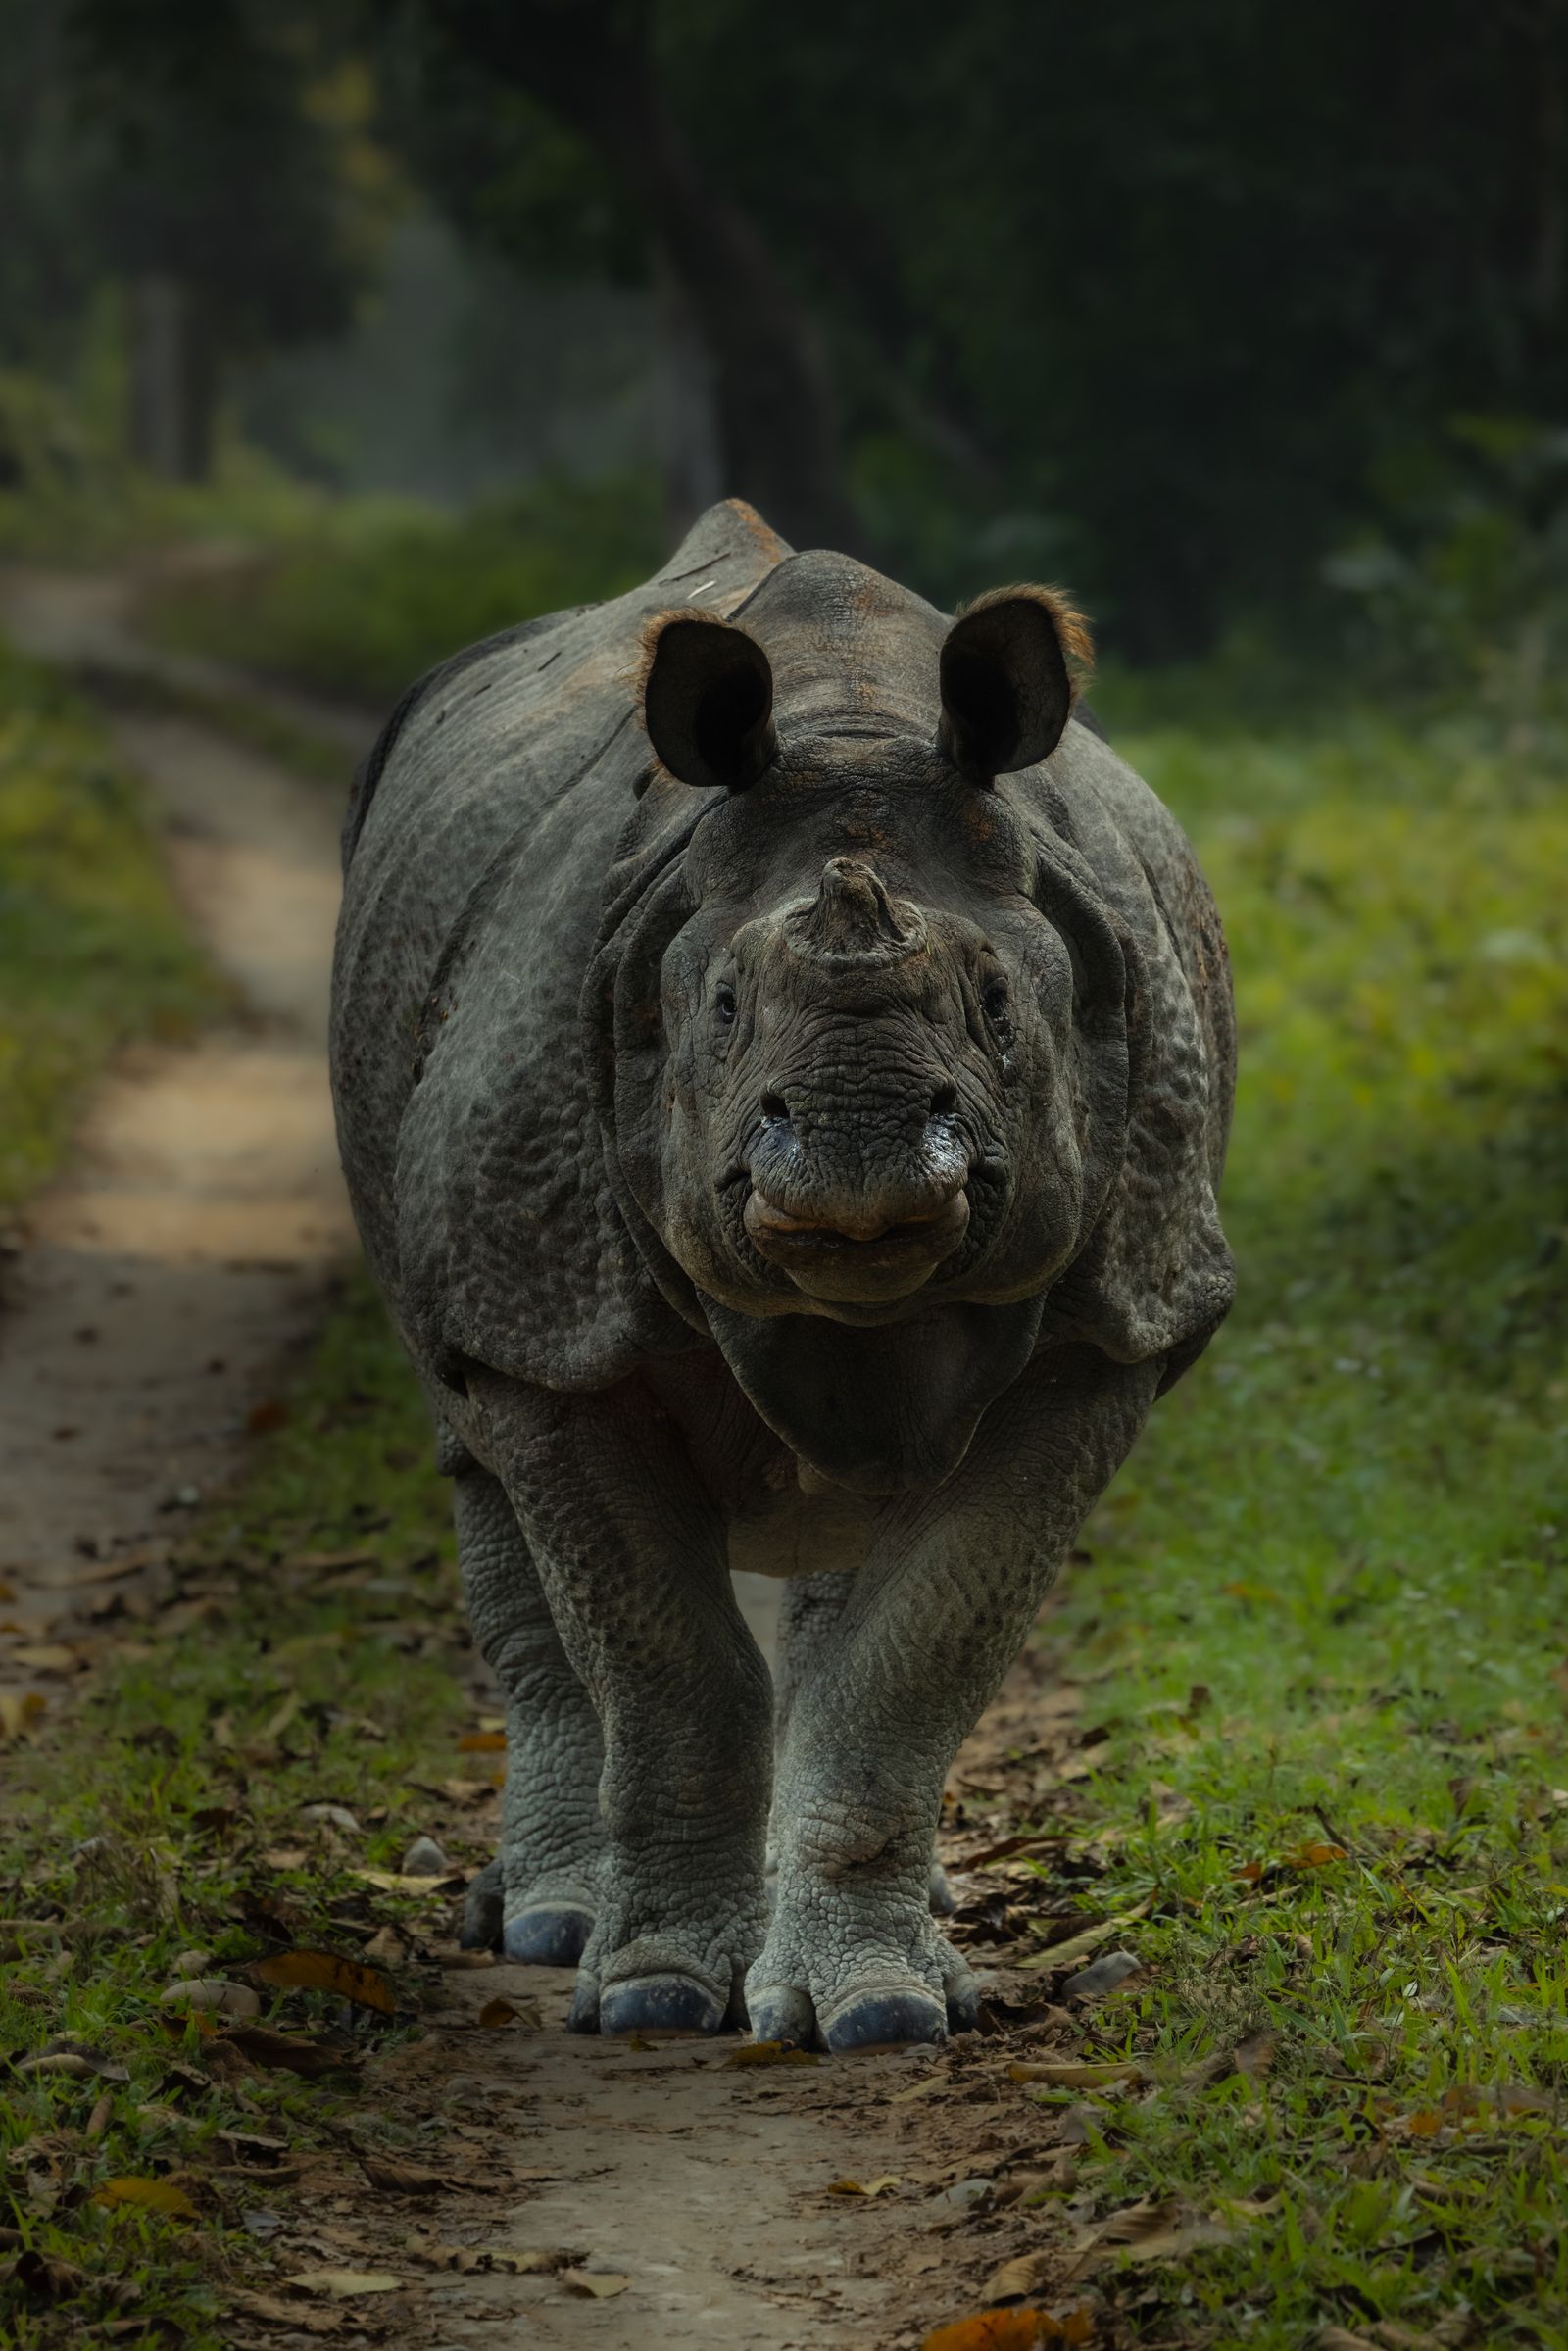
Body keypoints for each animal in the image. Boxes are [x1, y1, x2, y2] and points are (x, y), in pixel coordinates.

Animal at [331, 498, 1235, 2052]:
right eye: (722, 1005)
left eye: (999, 1006)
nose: (854, 1158)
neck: (854, 722)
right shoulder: (548, 1313)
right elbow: (666, 1670)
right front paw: (652, 1993)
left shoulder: (1116, 1323)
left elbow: (919, 1657)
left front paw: (876, 2009)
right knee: (479, 1454)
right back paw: (548, 1921)